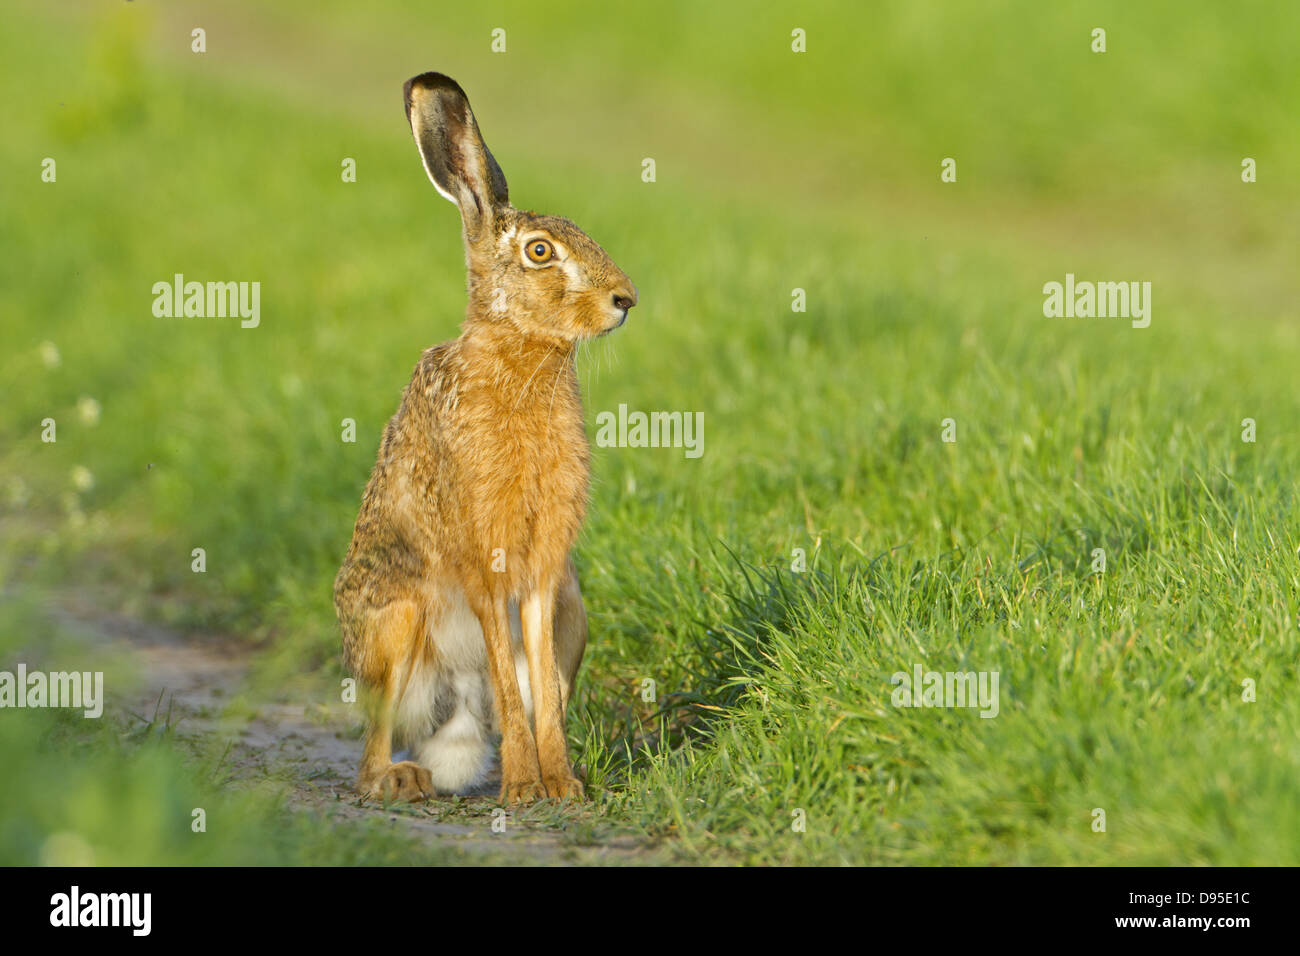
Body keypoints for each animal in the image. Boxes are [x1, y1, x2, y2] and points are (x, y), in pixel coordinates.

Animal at [333, 72, 636, 805]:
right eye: (540, 251)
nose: (625, 300)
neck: (521, 356)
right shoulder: (484, 557)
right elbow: (505, 670)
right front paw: (526, 790)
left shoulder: (545, 571)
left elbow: (539, 689)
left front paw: (560, 785)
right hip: (394, 625)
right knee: (372, 747)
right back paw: (402, 779)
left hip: (576, 612)